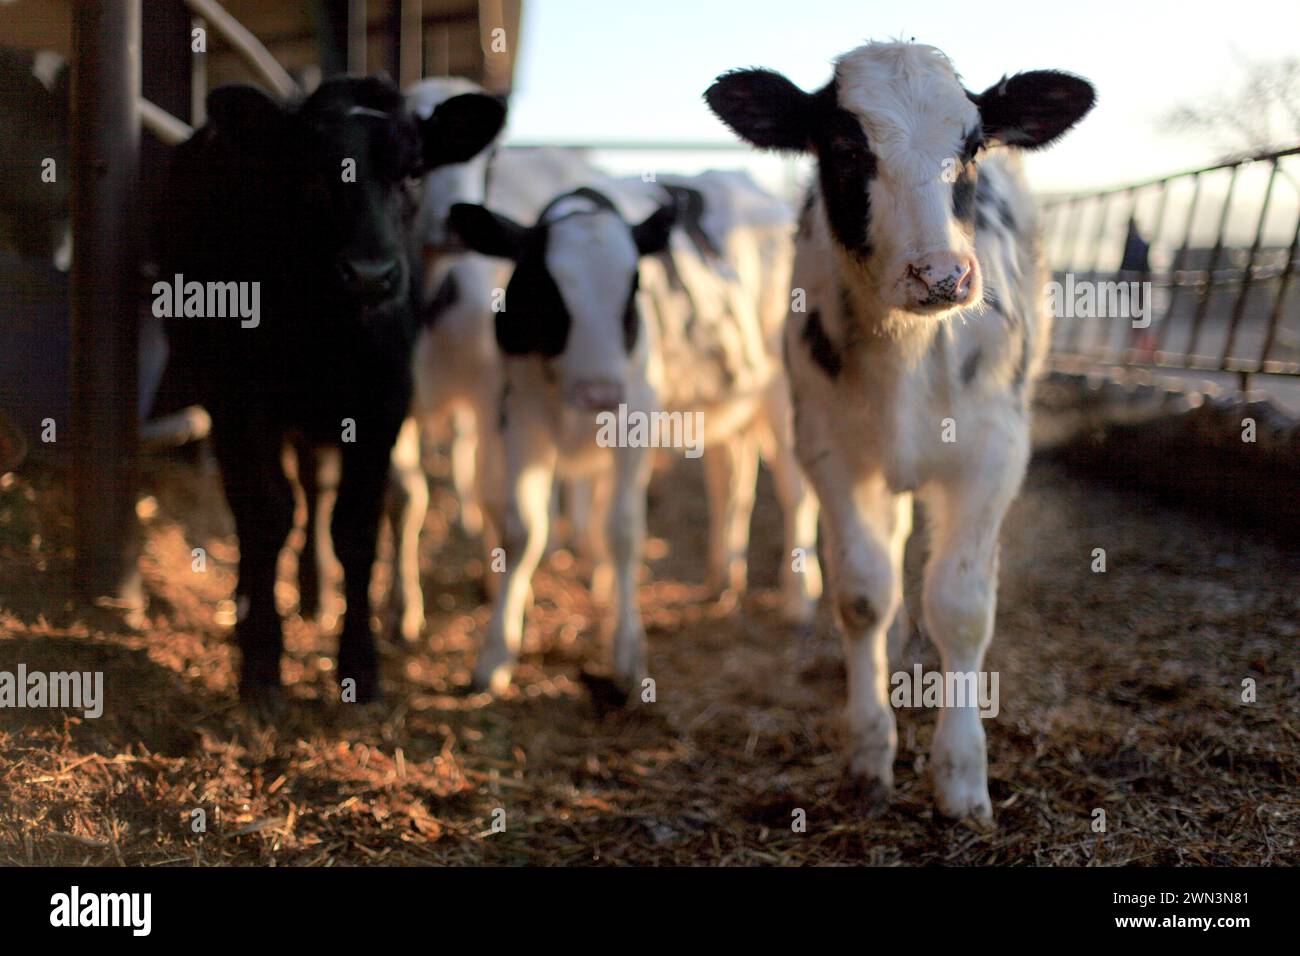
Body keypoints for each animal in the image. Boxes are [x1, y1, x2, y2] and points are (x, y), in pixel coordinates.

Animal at [156, 76, 504, 705]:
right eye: (310, 173)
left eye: (414, 171)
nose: (369, 275)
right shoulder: (238, 400)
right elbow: (265, 513)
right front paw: (261, 659)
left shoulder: (383, 403)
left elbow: (356, 526)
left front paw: (360, 666)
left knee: (316, 488)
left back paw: (316, 591)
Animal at [449, 170, 822, 697]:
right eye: (544, 289)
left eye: (633, 288)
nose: (600, 392)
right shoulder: (518, 414)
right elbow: (522, 531)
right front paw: (495, 656)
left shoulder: (634, 419)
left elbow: (622, 531)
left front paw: (626, 654)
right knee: (729, 483)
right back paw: (722, 576)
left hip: (784, 391)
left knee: (795, 493)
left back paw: (798, 600)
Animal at [706, 40, 1094, 819]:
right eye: (846, 148)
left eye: (971, 146)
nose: (940, 275)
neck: (908, 354)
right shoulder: (828, 450)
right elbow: (862, 595)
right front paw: (869, 752)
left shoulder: (995, 453)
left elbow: (962, 606)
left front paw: (963, 776)